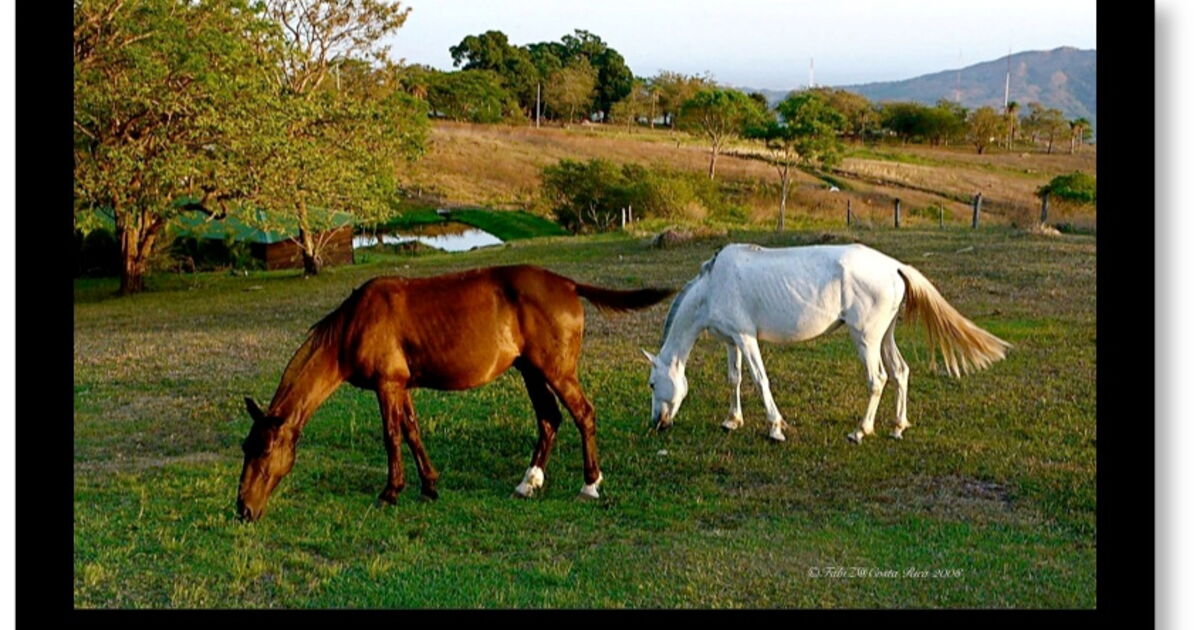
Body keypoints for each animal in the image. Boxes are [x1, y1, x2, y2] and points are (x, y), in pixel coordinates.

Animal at [237, 264, 673, 521]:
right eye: (246, 448)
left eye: (263, 452)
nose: (243, 509)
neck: (354, 324)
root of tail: (566, 284)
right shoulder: (401, 385)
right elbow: (412, 431)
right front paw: (429, 486)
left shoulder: (387, 385)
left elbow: (392, 435)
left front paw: (390, 492)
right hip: (531, 370)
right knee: (550, 419)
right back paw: (528, 483)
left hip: (556, 371)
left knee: (583, 414)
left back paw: (590, 484)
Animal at [642, 243, 1010, 444]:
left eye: (651, 384)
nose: (657, 423)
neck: (712, 285)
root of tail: (894, 266)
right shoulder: (732, 341)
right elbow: (735, 379)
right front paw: (732, 420)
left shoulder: (747, 339)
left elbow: (760, 380)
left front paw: (775, 428)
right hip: (885, 336)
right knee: (901, 372)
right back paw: (897, 427)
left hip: (866, 339)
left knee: (878, 379)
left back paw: (860, 431)